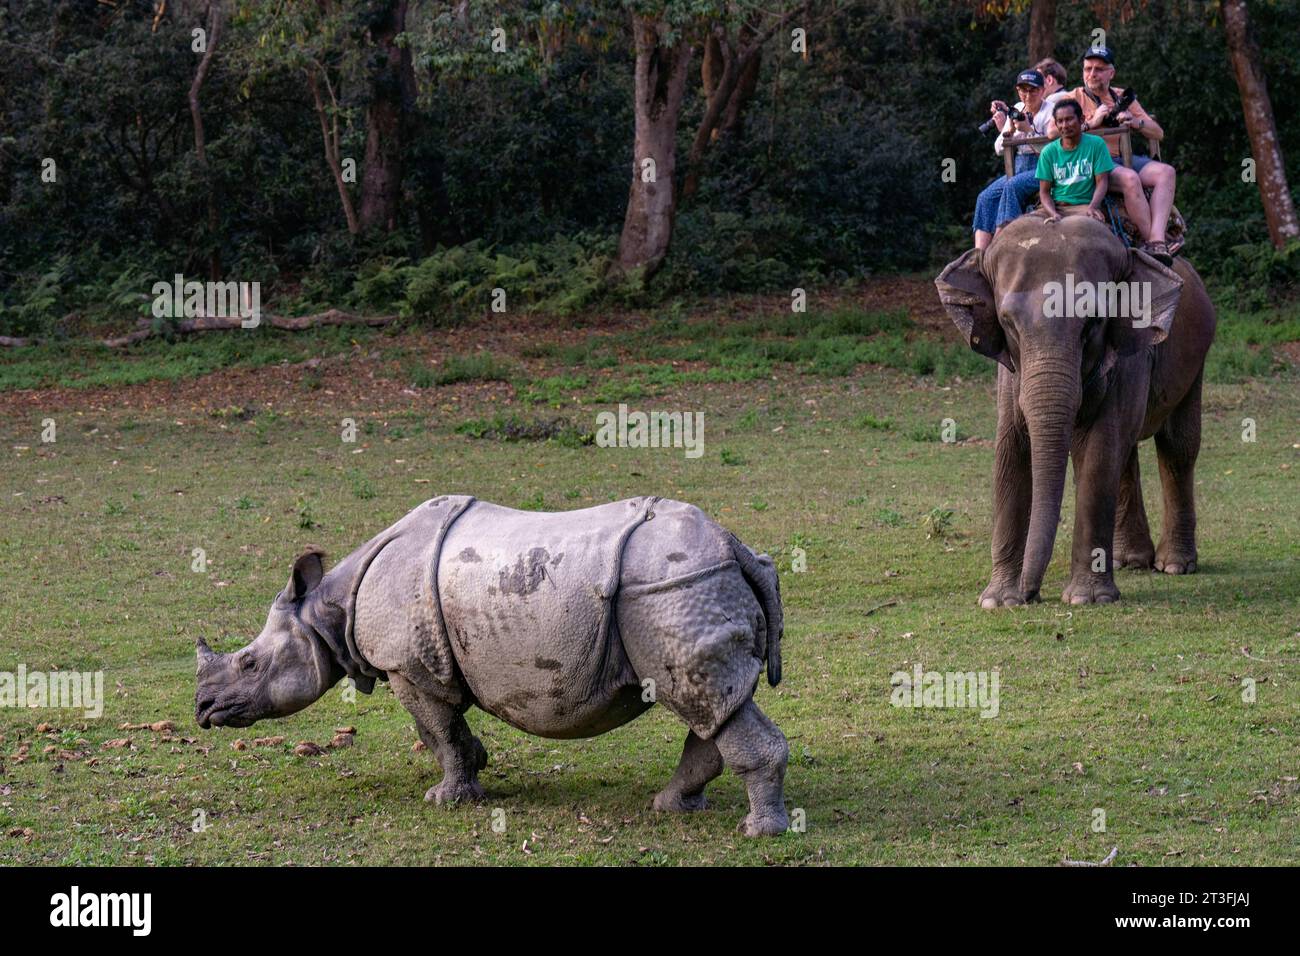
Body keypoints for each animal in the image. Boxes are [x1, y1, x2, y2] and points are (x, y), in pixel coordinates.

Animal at [935, 213, 1215, 606]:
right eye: (1008, 324)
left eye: (1092, 323)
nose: (1032, 594)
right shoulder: (1009, 373)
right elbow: (1010, 449)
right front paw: (999, 600)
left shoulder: (1126, 355)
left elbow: (1099, 452)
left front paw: (1087, 598)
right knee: (1127, 454)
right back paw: (1129, 560)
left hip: (1197, 356)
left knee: (1177, 448)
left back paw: (1174, 564)